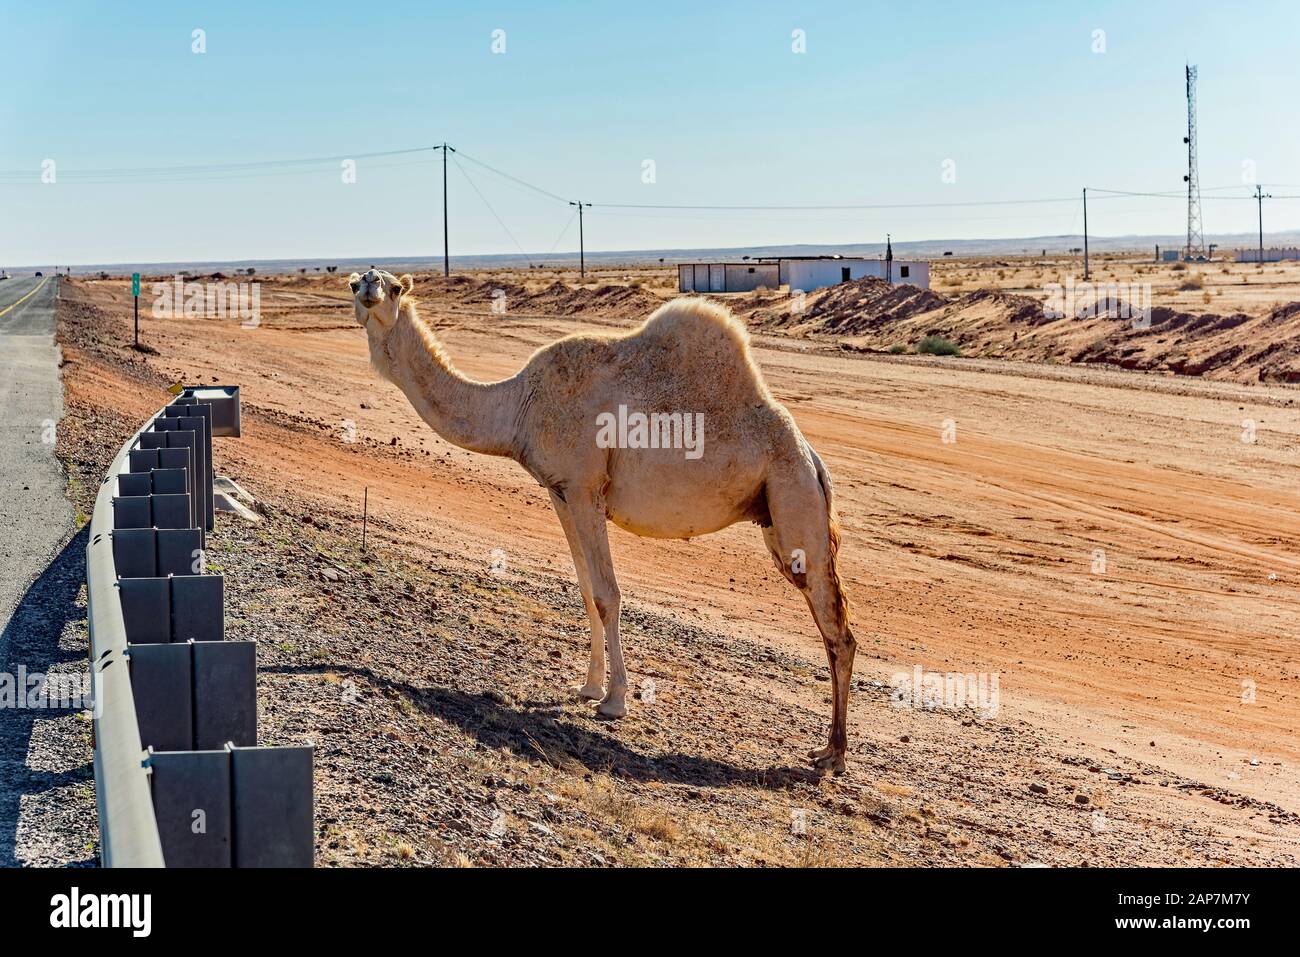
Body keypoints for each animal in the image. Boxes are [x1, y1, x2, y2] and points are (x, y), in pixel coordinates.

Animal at [349, 269, 857, 773]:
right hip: (776, 511)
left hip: (792, 495)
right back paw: (827, 749)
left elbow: (607, 594)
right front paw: (589, 686)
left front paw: (614, 701)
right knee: (829, 621)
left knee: (837, 628)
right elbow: (586, 590)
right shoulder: (560, 491)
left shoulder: (585, 486)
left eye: (394, 287)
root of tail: (814, 461)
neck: (519, 406)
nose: (369, 285)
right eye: (358, 284)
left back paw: (831, 754)